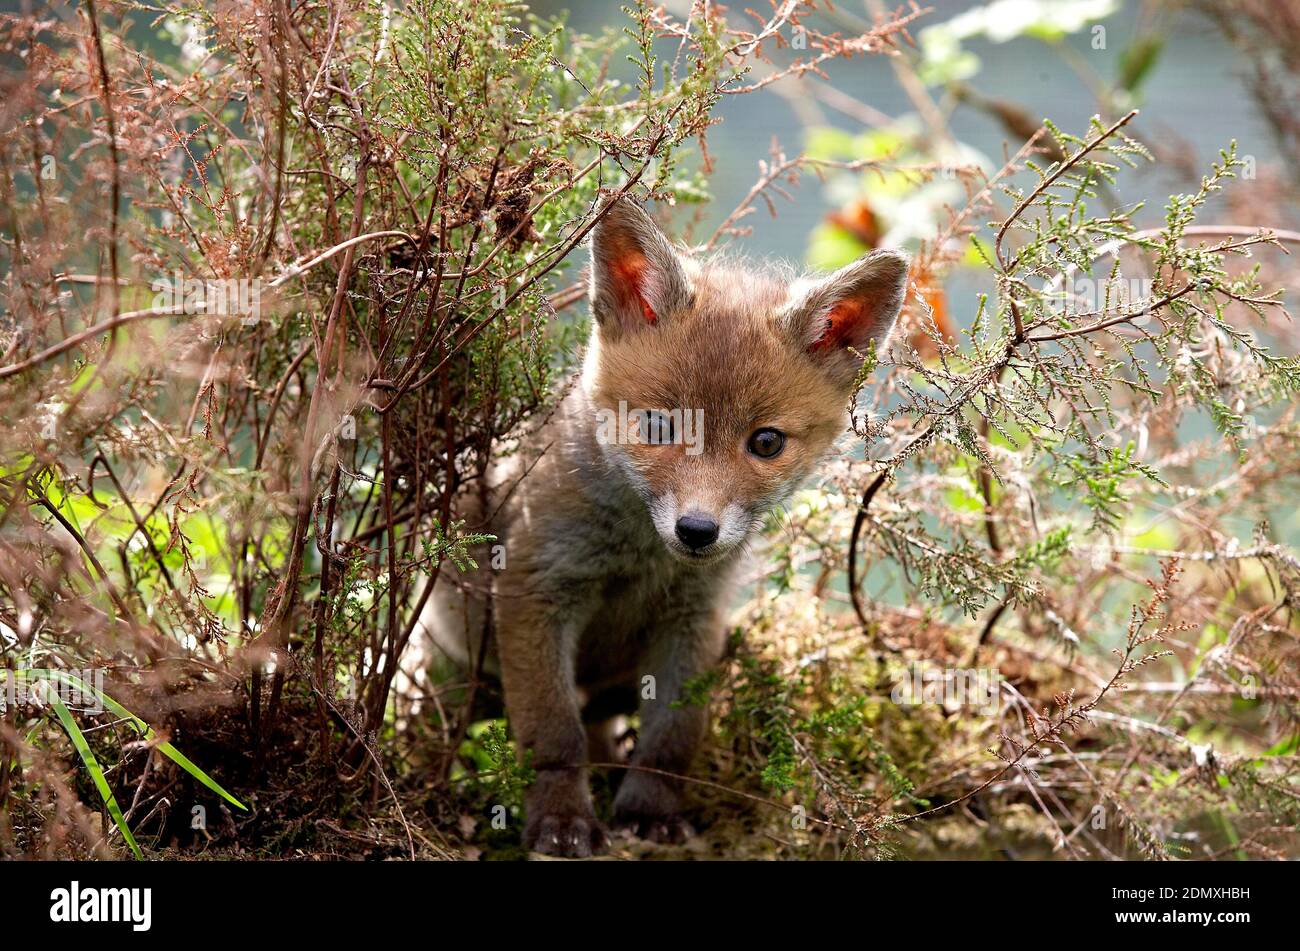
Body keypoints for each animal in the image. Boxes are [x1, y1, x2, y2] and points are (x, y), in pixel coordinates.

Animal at [424, 197, 908, 857]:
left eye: (766, 442)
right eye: (657, 427)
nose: (697, 530)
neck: (639, 557)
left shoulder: (695, 614)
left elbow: (673, 734)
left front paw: (649, 810)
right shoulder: (536, 587)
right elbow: (553, 732)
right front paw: (561, 820)